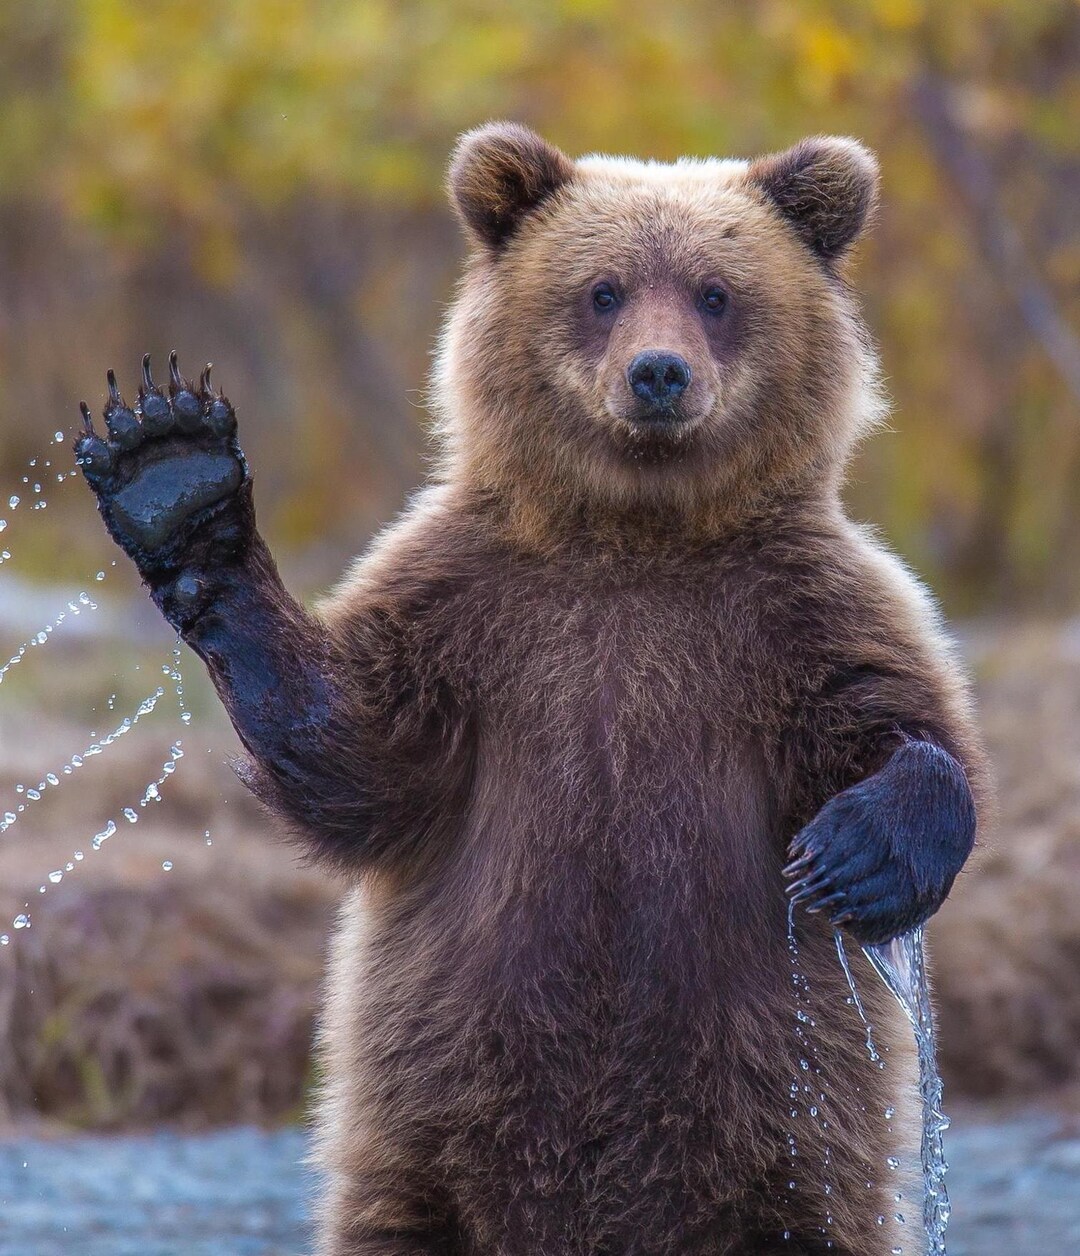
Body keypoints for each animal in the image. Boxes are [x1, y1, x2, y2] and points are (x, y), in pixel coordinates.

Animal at [75, 123, 987, 1255]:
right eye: (602, 289)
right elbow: (356, 754)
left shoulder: (796, 611)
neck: (637, 532)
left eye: (716, 291)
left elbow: (901, 720)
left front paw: (855, 855)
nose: (657, 373)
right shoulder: (474, 610)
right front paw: (173, 471)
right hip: (425, 1132)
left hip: (789, 1138)